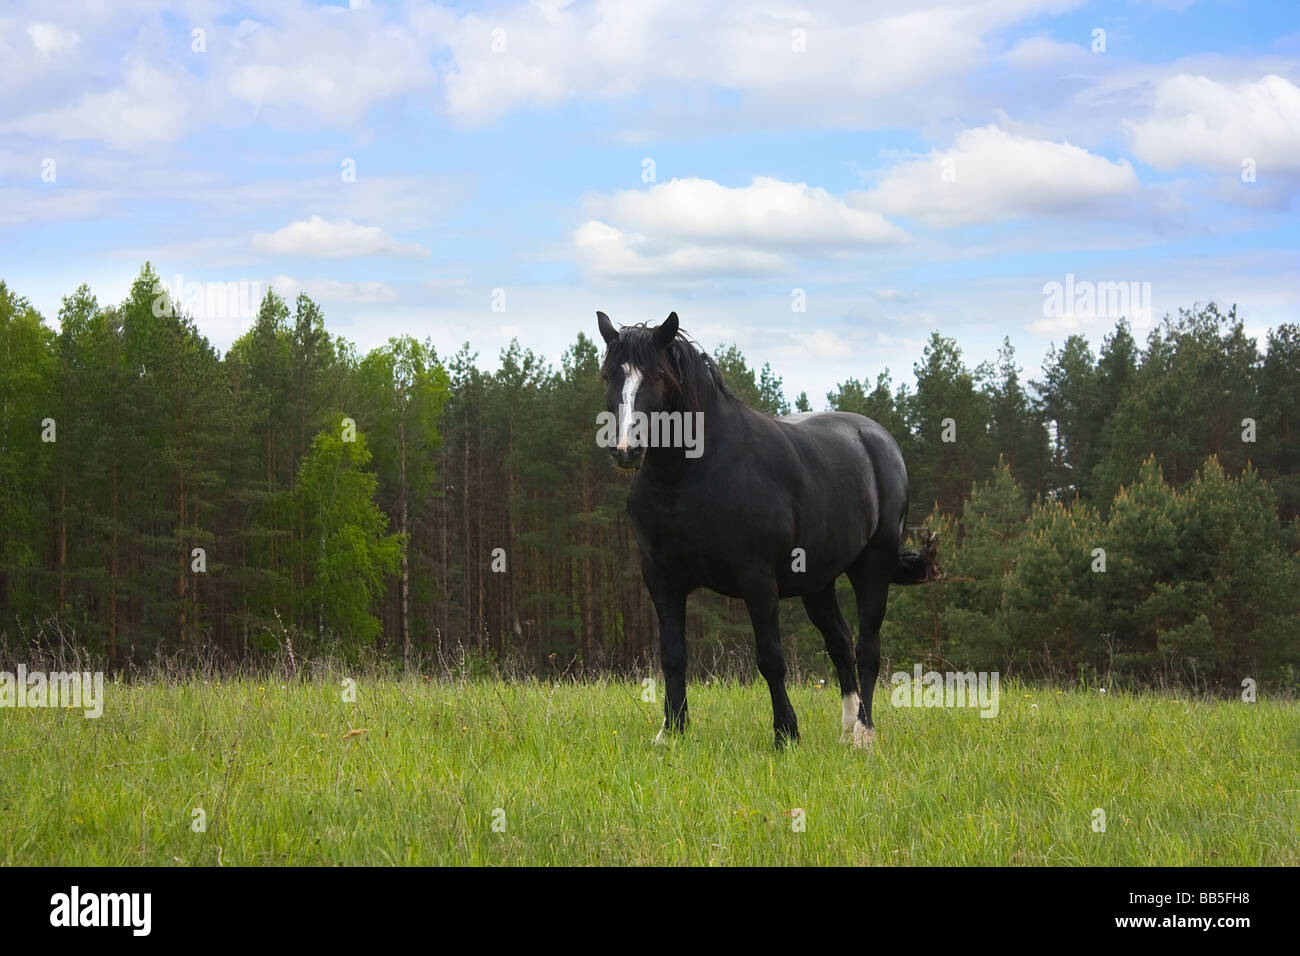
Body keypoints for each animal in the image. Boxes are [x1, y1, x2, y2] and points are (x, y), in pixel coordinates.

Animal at [597, 310, 940, 749]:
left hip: (873, 566)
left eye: (657, 376)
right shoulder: (661, 578)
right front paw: (671, 731)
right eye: (610, 375)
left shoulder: (757, 579)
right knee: (840, 643)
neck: (690, 476)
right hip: (817, 582)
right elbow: (673, 655)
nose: (625, 449)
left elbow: (770, 658)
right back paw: (847, 728)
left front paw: (786, 733)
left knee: (867, 648)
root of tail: (879, 441)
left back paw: (864, 733)